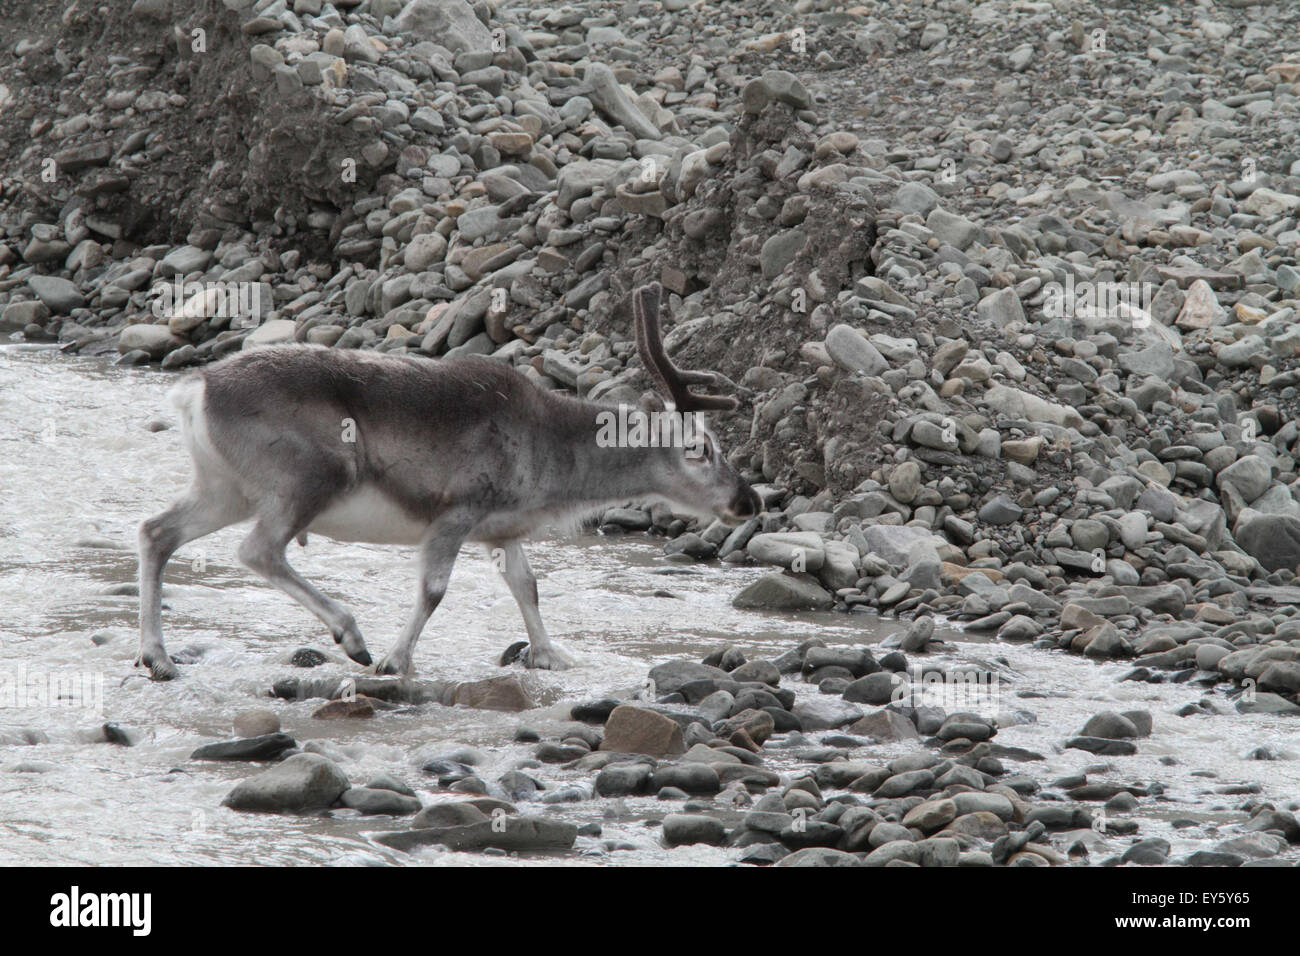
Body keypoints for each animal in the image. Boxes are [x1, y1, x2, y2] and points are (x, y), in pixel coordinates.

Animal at [136, 282, 762, 681]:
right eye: (702, 447)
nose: (748, 500)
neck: (550, 459)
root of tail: (193, 391)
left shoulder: (502, 530)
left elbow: (527, 586)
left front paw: (551, 656)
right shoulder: (456, 511)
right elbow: (434, 590)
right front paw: (395, 660)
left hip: (225, 487)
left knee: (155, 531)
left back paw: (157, 657)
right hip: (308, 476)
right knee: (258, 549)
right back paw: (352, 637)